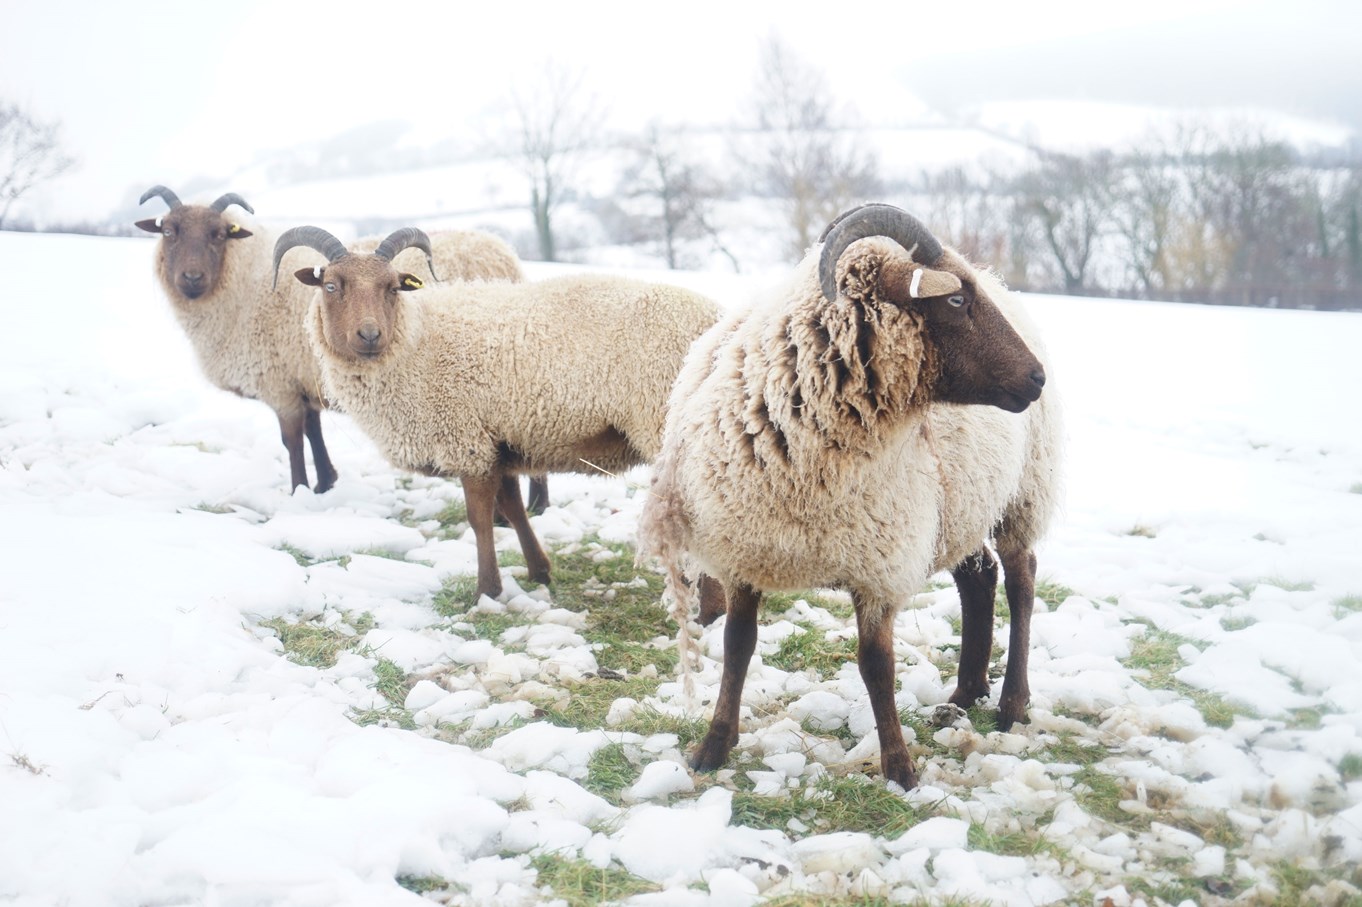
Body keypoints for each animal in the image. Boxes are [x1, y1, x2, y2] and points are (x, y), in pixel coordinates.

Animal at [135, 185, 524, 494]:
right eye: (168, 231)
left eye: (218, 234)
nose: (191, 278)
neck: (243, 282)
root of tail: (500, 250)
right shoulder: (303, 378)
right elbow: (313, 431)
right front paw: (325, 483)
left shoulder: (279, 384)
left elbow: (292, 441)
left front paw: (300, 491)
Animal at [271, 225, 726, 609]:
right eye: (332, 285)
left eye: (392, 288)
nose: (369, 335)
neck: (416, 343)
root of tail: (719, 321)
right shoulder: (498, 442)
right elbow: (513, 508)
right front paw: (539, 571)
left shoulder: (466, 439)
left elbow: (479, 521)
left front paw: (485, 592)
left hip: (668, 424)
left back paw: (710, 610)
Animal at [638, 203, 1062, 790]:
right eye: (956, 299)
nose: (1036, 378)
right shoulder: (745, 551)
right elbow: (737, 647)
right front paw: (713, 746)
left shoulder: (878, 563)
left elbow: (876, 665)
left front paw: (900, 769)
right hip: (960, 505)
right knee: (980, 579)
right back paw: (965, 692)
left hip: (1022, 495)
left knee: (1022, 582)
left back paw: (1011, 704)